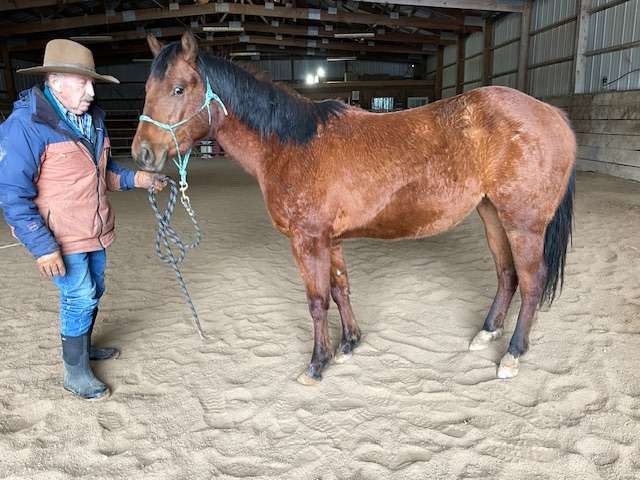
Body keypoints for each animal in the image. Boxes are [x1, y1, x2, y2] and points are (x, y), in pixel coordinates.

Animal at [132, 31, 576, 385]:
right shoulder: (331, 240)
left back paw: (512, 355)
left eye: (178, 88)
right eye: (147, 89)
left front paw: (316, 364)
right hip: (491, 215)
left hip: (523, 223)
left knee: (531, 282)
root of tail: (552, 114)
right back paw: (486, 334)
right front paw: (349, 344)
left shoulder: (307, 241)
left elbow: (317, 302)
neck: (290, 144)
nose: (143, 154)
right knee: (506, 275)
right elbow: (341, 288)